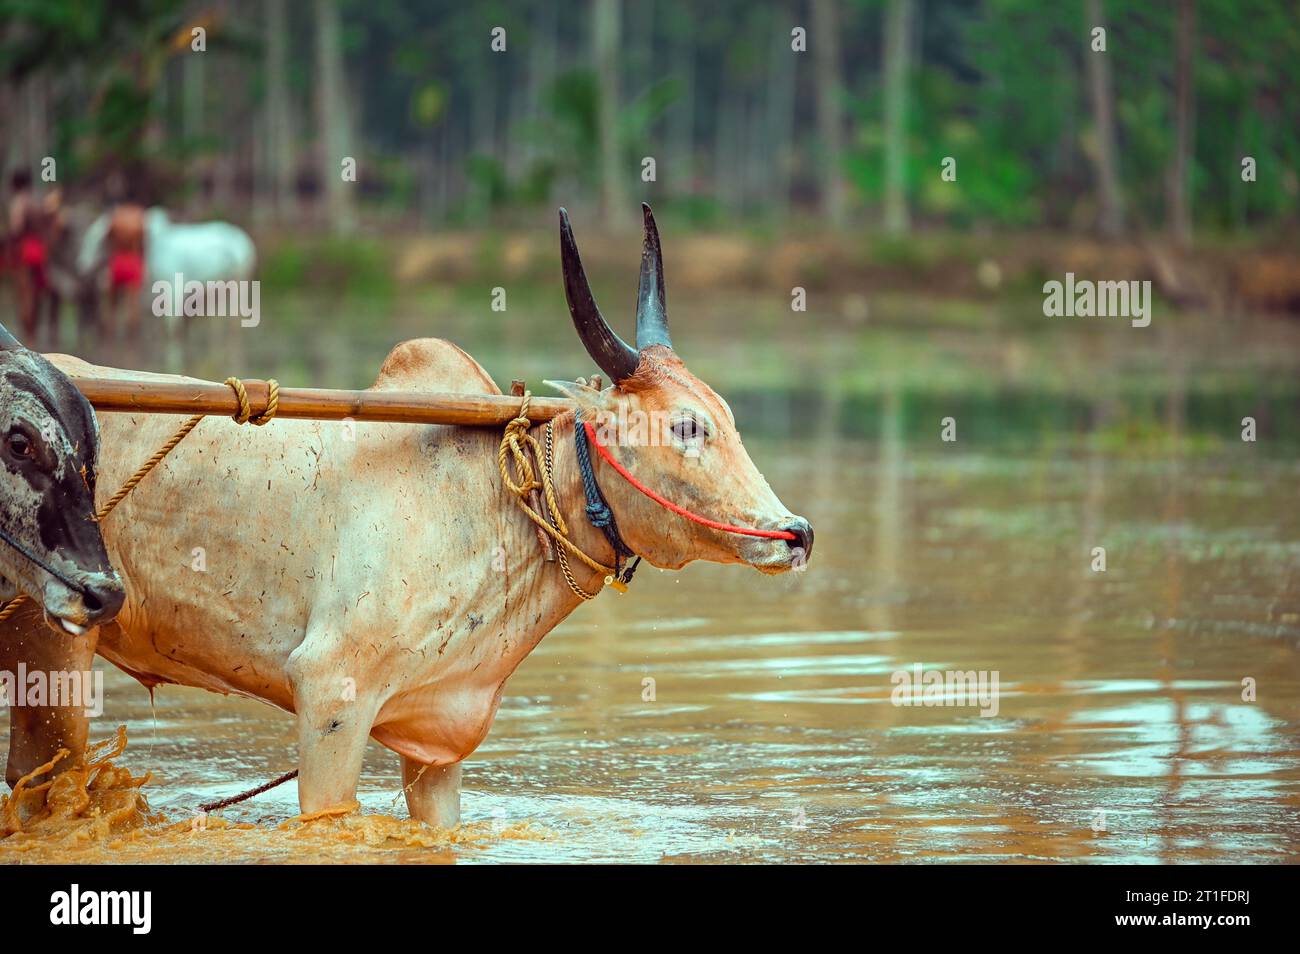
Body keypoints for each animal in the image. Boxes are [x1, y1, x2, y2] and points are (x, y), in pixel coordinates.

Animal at [3, 206, 812, 826]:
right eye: (685, 426)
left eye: (725, 416)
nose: (796, 534)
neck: (492, 507)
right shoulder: (329, 696)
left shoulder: (438, 741)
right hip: (56, 642)